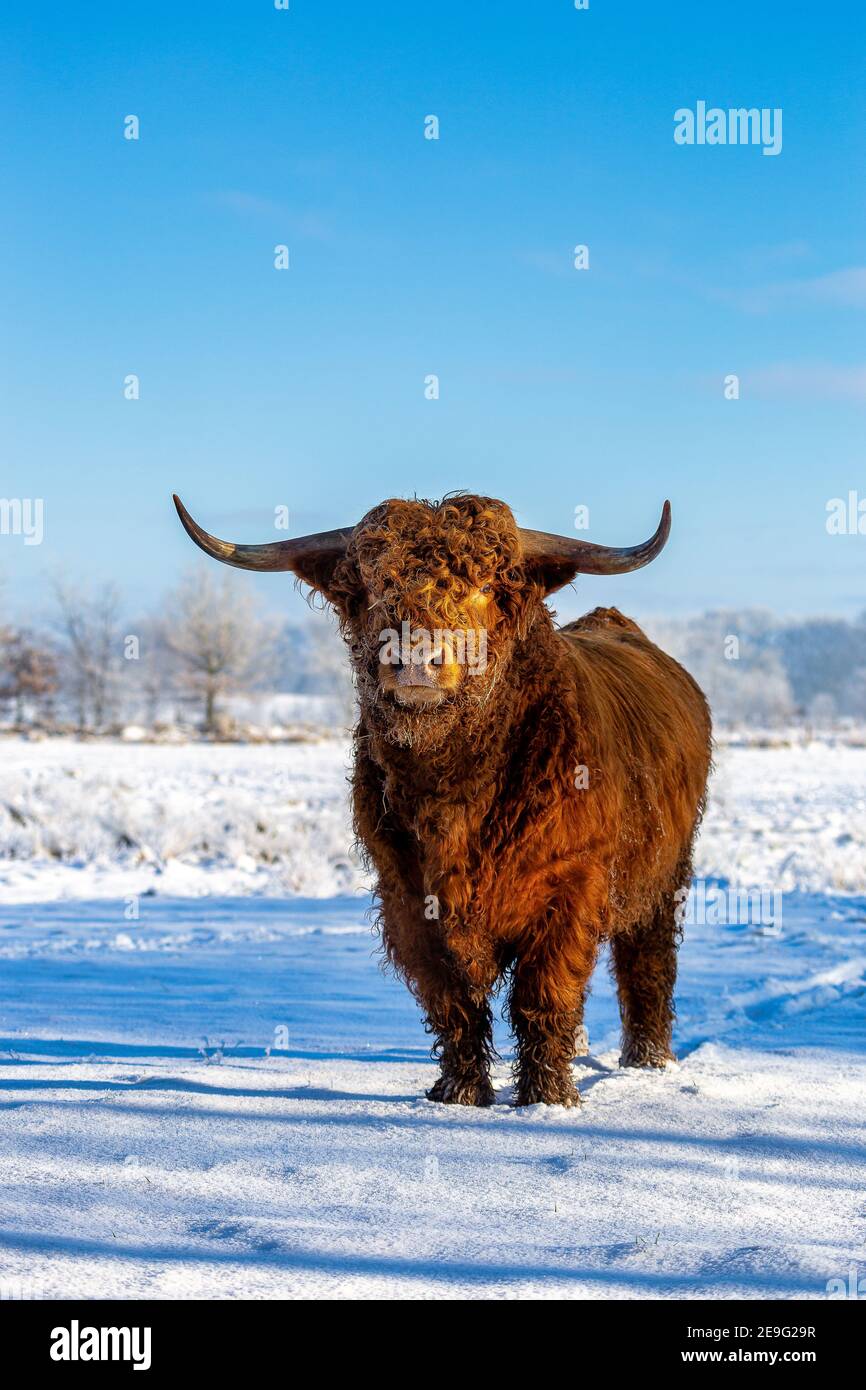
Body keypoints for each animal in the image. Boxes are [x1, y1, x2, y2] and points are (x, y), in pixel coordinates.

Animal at [174, 492, 711, 1107]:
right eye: (375, 583)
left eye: (484, 585)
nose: (414, 655)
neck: (455, 793)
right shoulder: (407, 897)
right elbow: (451, 998)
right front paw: (459, 1092)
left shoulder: (570, 885)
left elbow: (544, 992)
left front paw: (548, 1098)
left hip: (664, 876)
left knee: (647, 964)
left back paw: (648, 1062)